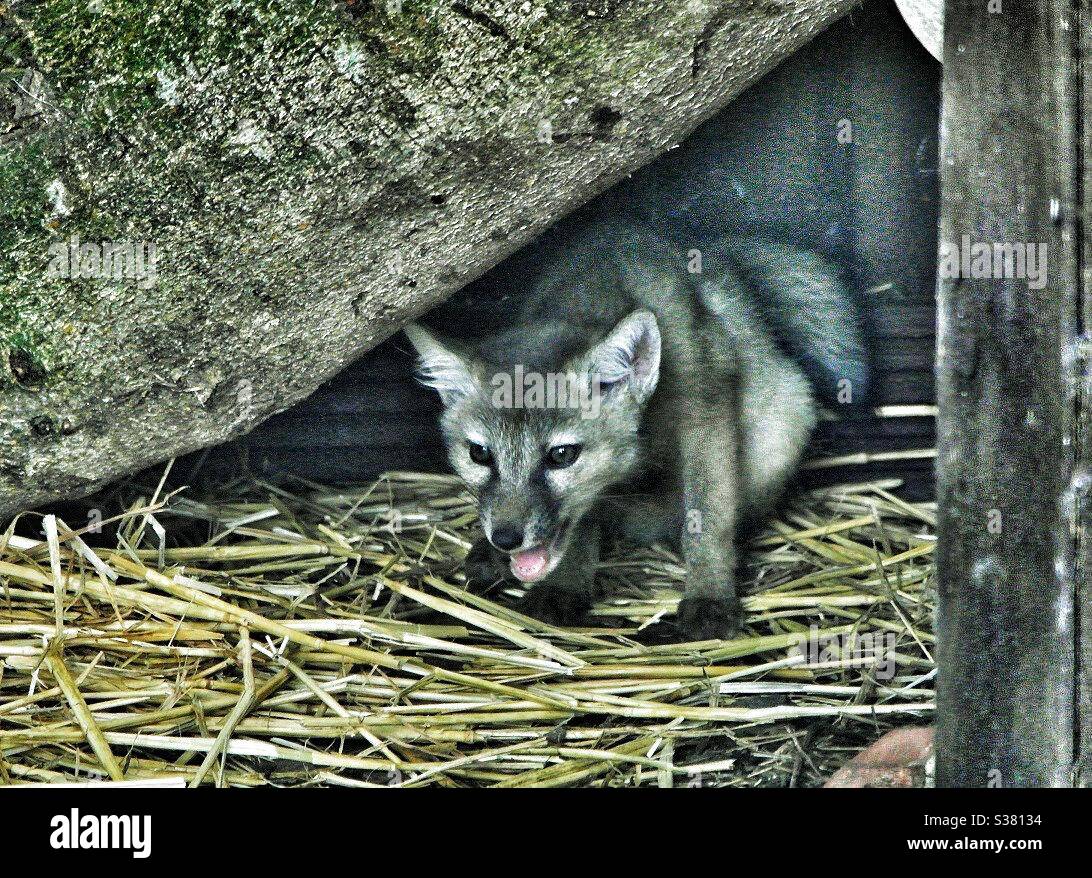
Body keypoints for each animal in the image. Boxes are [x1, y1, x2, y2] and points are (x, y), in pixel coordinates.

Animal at [404, 220, 868, 641]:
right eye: (480, 454)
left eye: (561, 455)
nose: (505, 537)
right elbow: (582, 528)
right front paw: (563, 587)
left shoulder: (706, 417)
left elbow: (707, 520)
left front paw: (710, 596)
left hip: (783, 423)